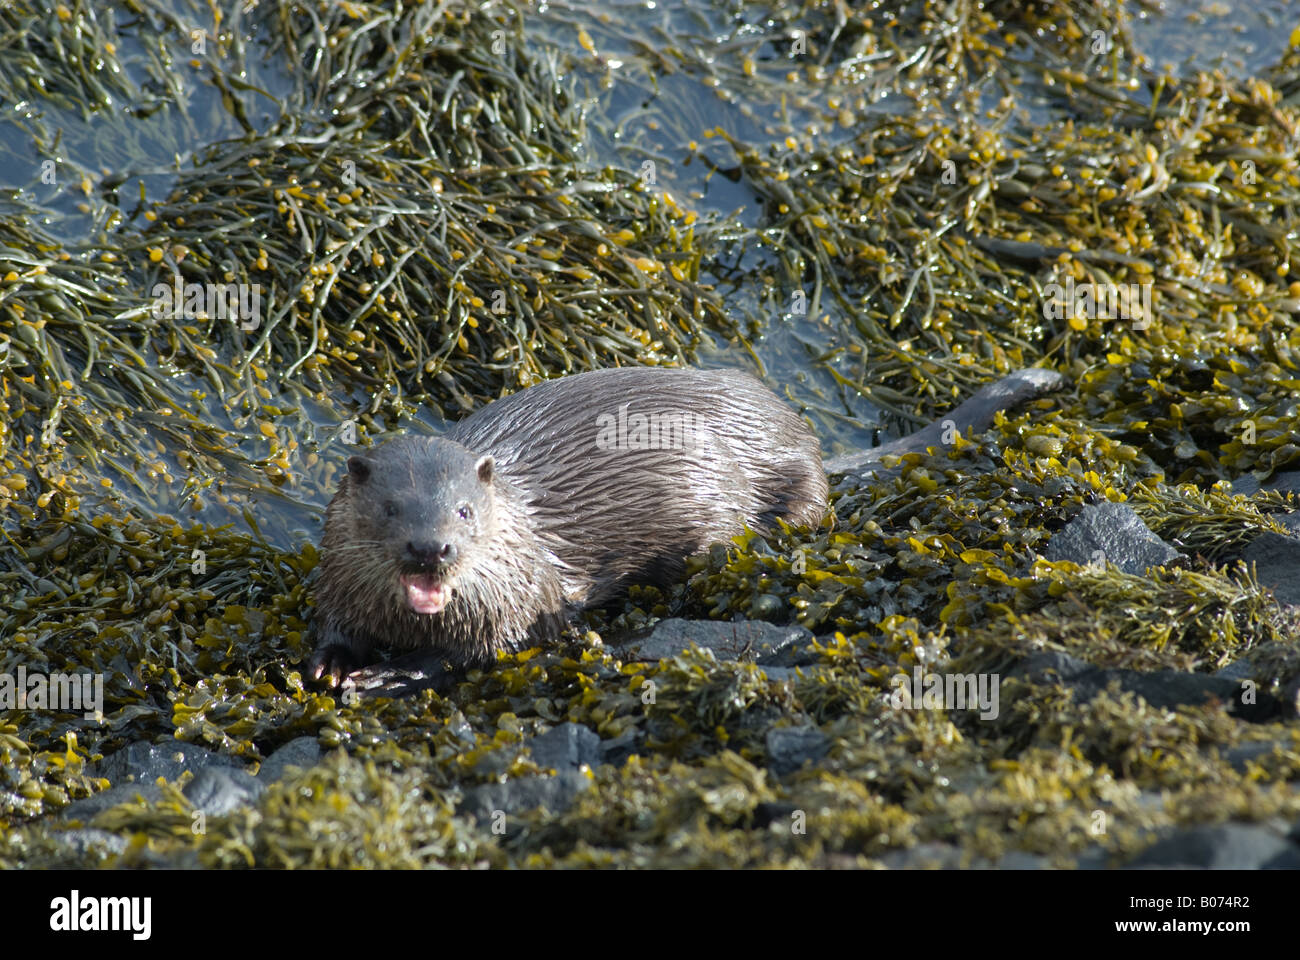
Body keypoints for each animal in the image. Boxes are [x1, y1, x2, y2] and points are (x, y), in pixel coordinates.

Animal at [309, 366, 829, 688]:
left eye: (464, 511)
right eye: (390, 509)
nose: (430, 548)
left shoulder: (526, 597)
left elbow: (488, 648)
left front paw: (395, 672)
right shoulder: (339, 582)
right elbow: (335, 624)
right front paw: (332, 660)